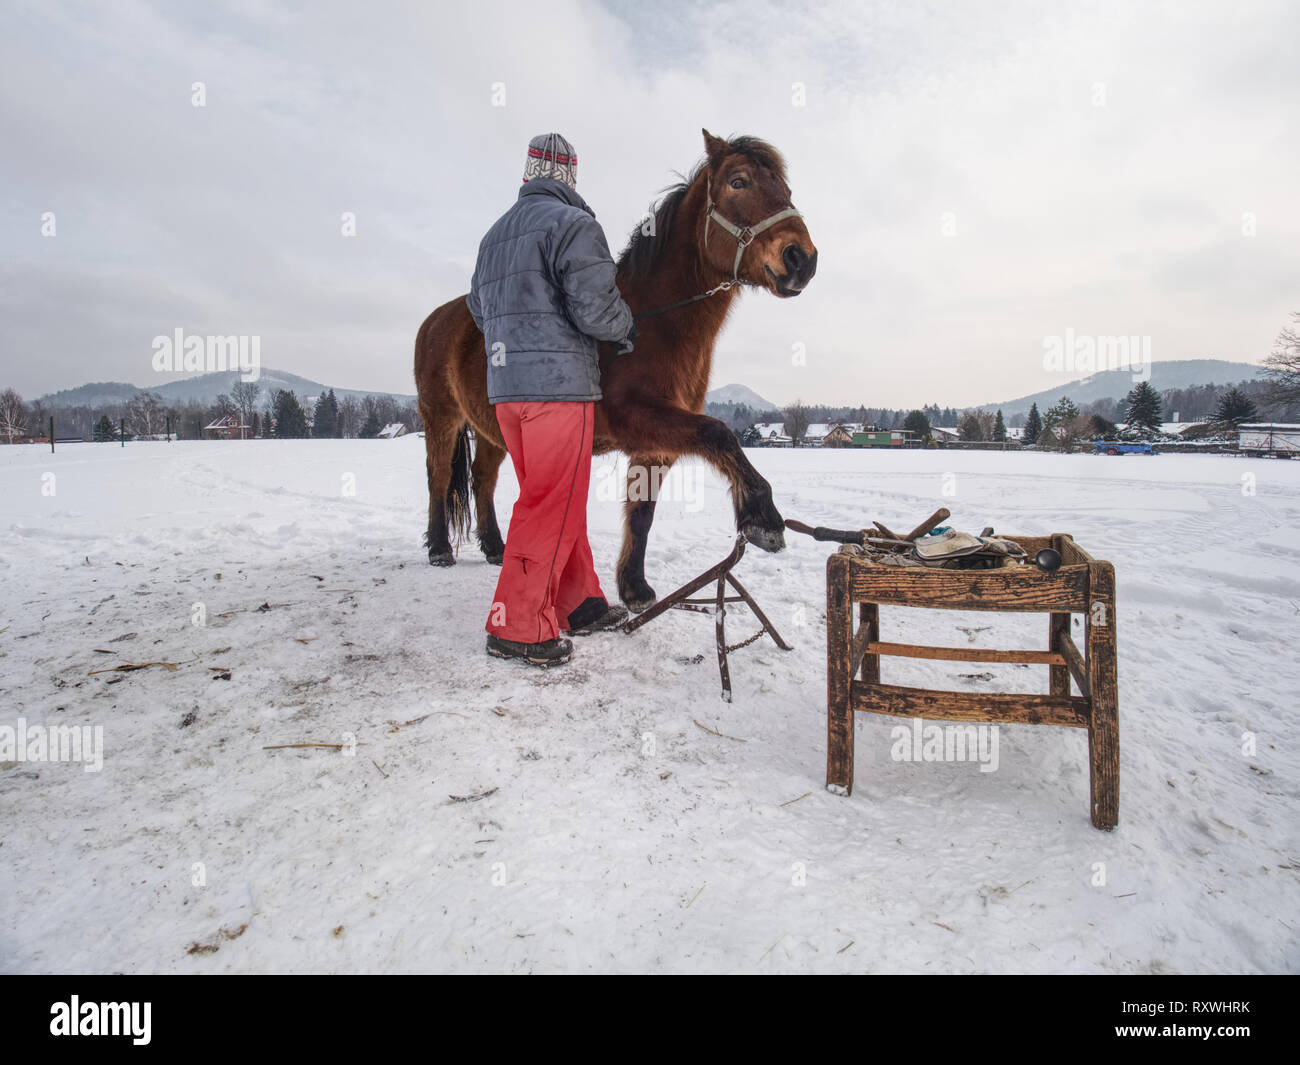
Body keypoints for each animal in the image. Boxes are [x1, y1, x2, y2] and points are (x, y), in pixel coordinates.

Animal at [413, 129, 818, 612]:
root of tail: (436, 318)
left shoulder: (654, 446)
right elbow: (720, 433)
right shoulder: (642, 418)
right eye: (738, 182)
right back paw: (439, 549)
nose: (801, 259)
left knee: (483, 480)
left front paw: (634, 588)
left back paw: (495, 547)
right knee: (439, 478)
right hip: (441, 419)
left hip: (492, 431)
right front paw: (763, 516)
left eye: (787, 189)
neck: (651, 319)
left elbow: (642, 514)